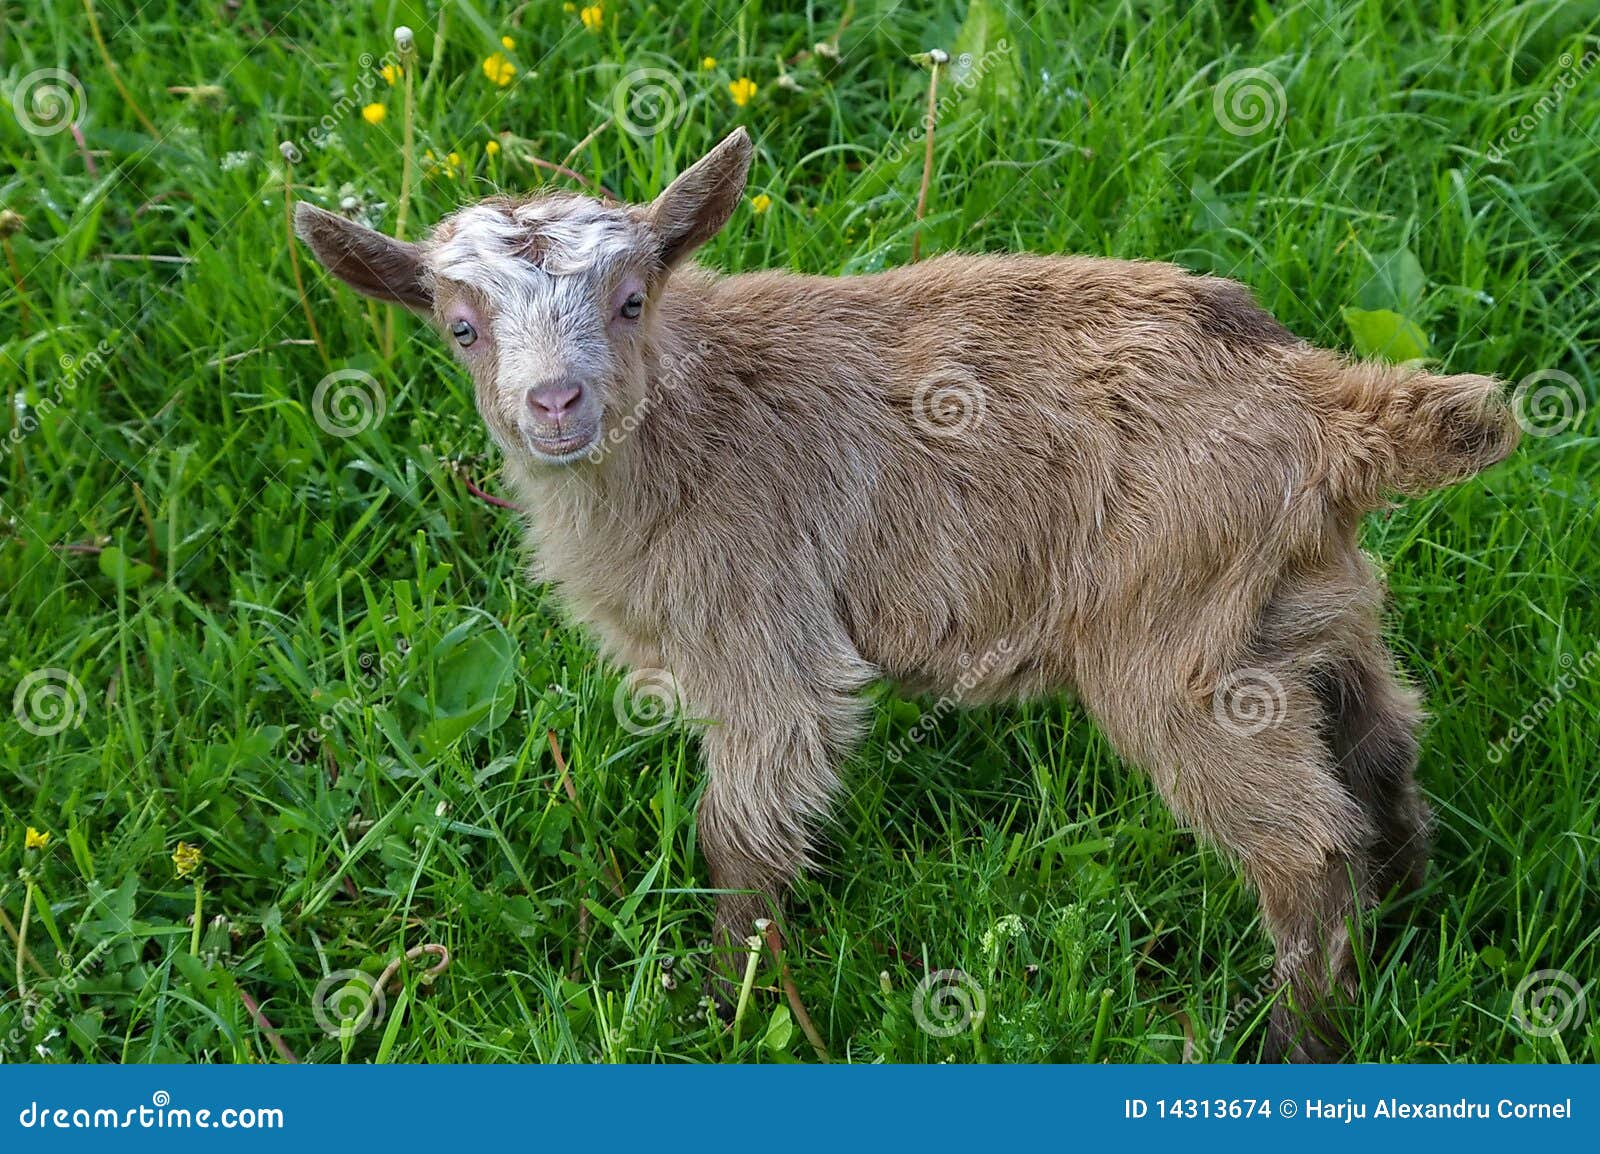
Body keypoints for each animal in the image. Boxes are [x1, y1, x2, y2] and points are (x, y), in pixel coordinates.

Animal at [295, 127, 1519, 1061]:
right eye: (461, 326)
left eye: (633, 299)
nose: (556, 401)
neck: (687, 422)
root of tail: (1322, 402)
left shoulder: (763, 633)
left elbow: (739, 832)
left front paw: (725, 1006)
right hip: (1299, 595)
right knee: (1381, 737)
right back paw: (1407, 909)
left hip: (1171, 643)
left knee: (1303, 843)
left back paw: (1290, 1041)